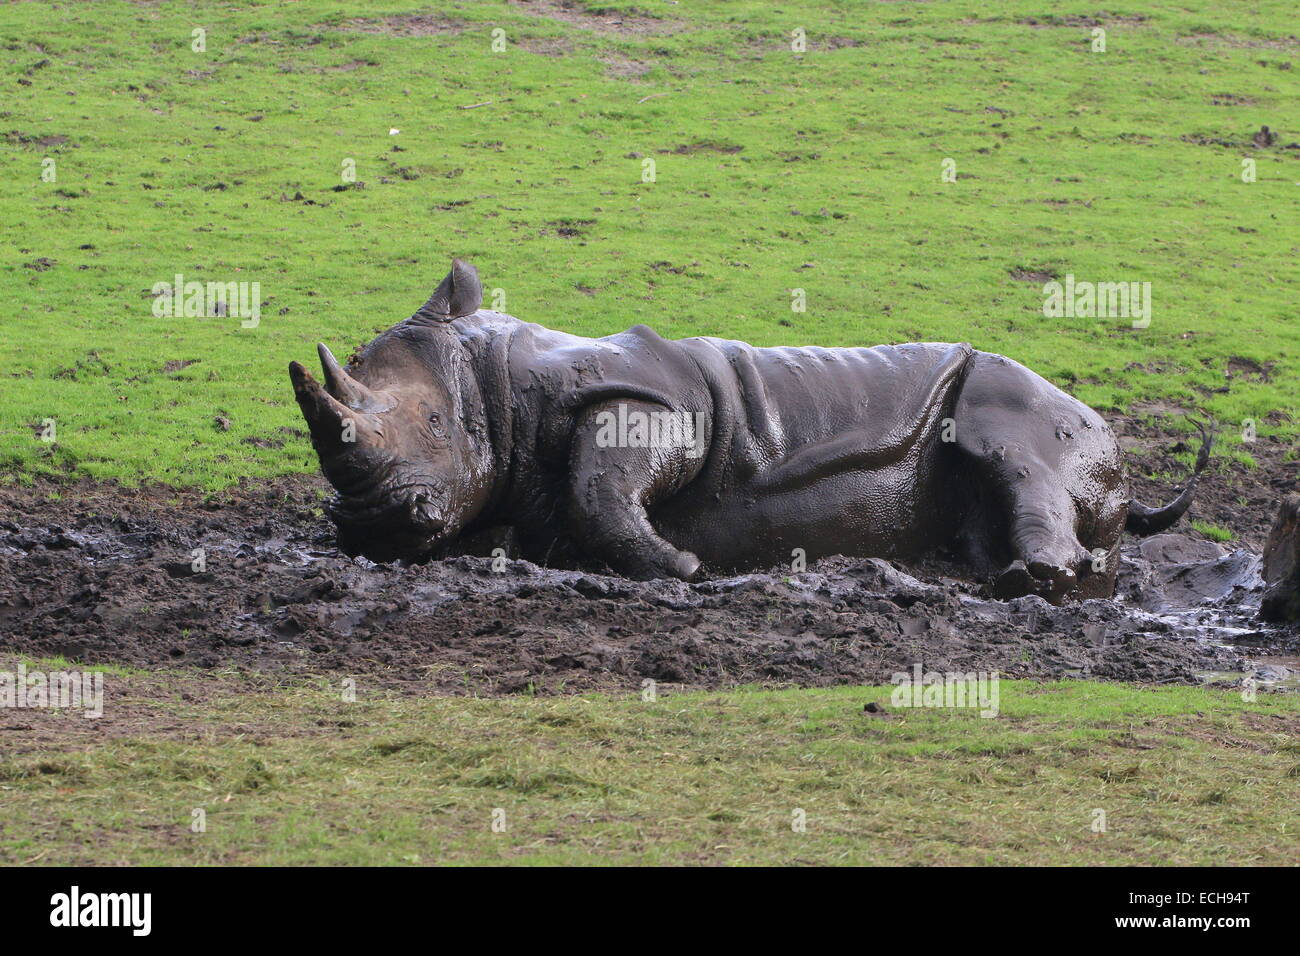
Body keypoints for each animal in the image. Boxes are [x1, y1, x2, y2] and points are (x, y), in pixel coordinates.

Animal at [289, 258, 1211, 604]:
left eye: (434, 424)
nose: (370, 530)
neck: (495, 387)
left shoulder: (663, 402)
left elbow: (603, 483)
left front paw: (682, 568)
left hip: (1027, 402)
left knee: (1016, 456)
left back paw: (1029, 584)